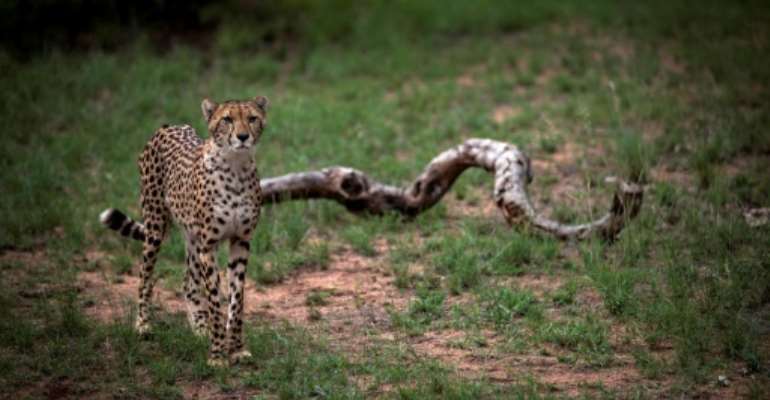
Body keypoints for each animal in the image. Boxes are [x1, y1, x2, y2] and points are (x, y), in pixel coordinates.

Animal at [99, 96, 268, 366]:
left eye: (252, 118)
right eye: (227, 119)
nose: (242, 136)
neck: (235, 166)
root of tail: (168, 126)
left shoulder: (240, 241)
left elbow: (236, 301)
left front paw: (237, 348)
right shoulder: (209, 245)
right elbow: (215, 301)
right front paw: (217, 355)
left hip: (192, 238)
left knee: (188, 283)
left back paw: (200, 328)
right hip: (156, 226)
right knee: (144, 276)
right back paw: (143, 325)